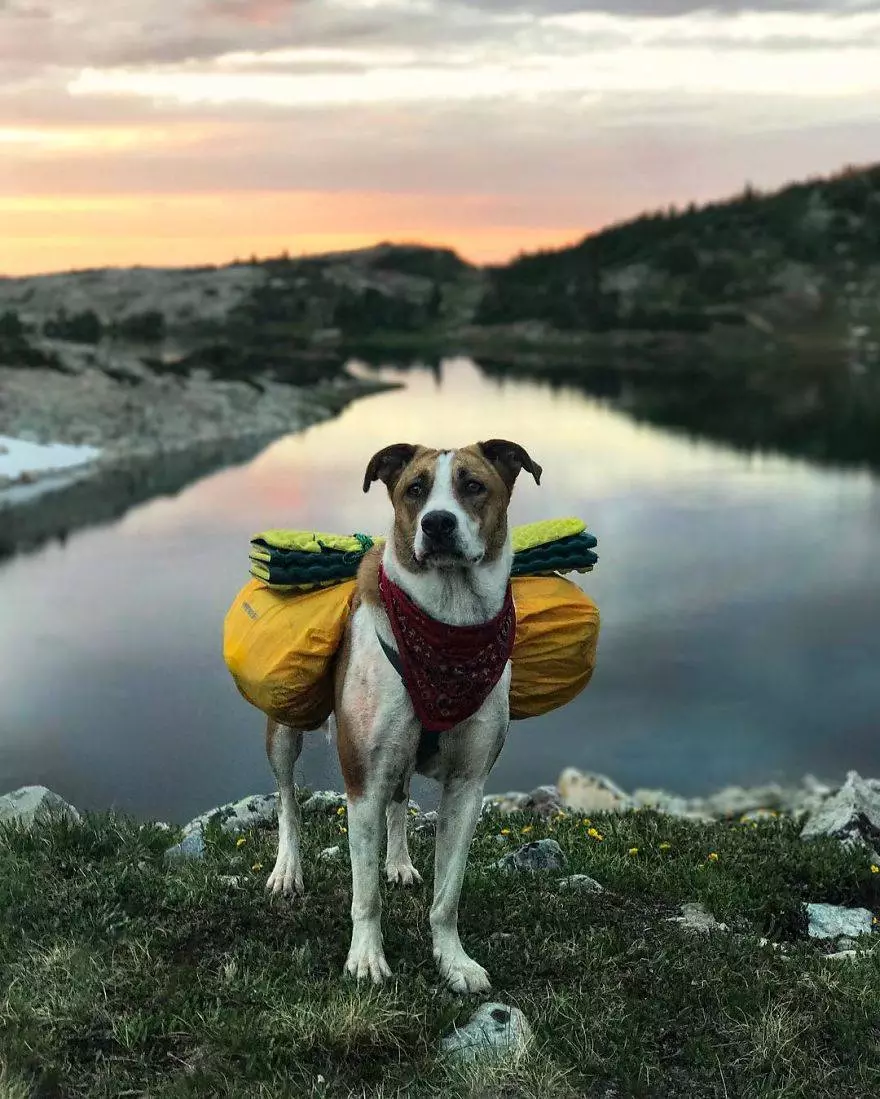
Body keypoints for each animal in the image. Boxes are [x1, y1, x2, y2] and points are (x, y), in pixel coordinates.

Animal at [261, 439, 538, 997]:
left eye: (473, 485)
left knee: (400, 798)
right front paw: (366, 959)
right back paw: (287, 869)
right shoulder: (362, 779)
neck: (447, 625)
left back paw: (400, 862)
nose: (437, 523)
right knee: (286, 799)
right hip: (284, 729)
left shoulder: (468, 786)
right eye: (415, 489)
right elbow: (364, 893)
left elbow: (448, 894)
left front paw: (453, 961)